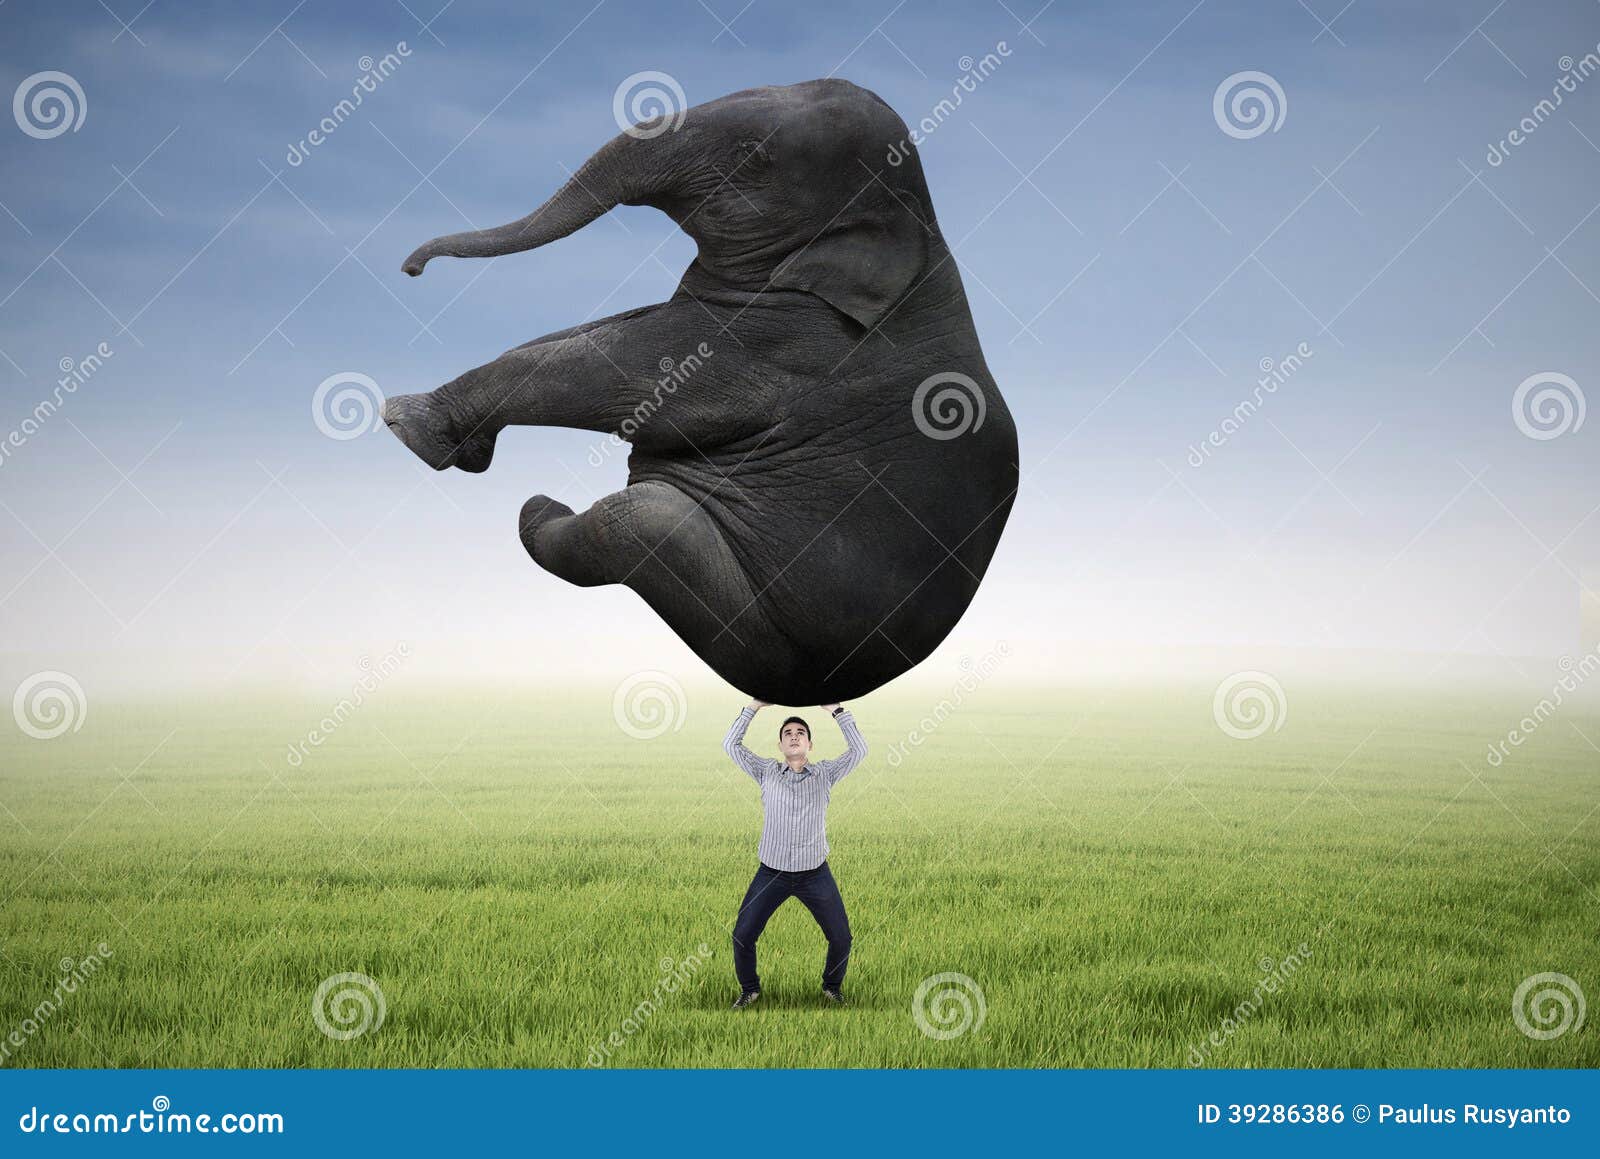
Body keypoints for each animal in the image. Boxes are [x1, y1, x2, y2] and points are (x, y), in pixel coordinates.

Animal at [383, 78, 1017, 704]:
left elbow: (622, 369)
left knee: (629, 517)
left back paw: (541, 508)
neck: (920, 224)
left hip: (765, 634)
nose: (411, 270)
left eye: (753, 156)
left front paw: (405, 424)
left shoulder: (788, 344)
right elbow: (598, 331)